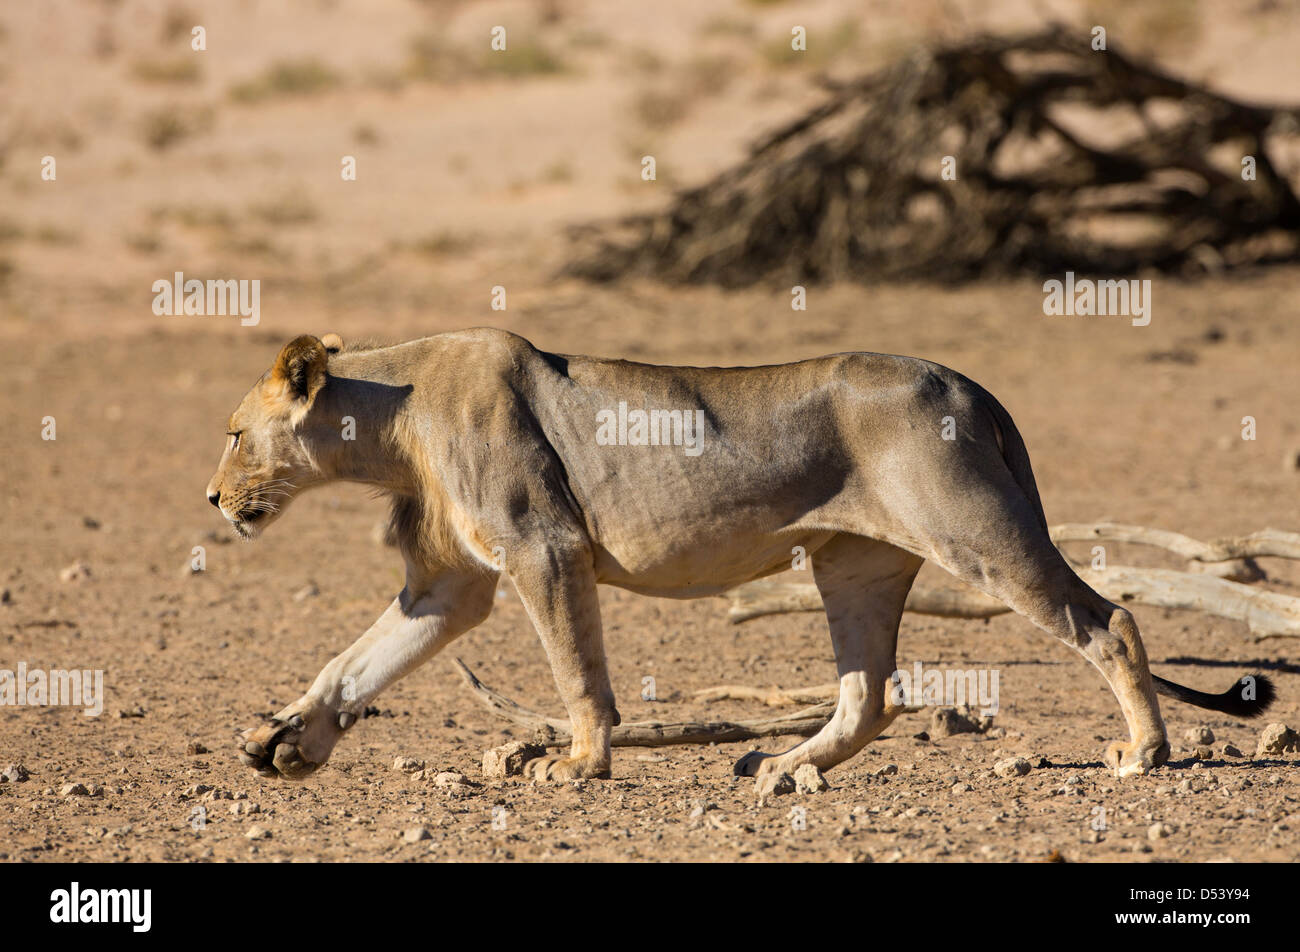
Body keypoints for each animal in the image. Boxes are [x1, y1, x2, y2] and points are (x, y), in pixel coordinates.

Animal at [207, 329, 1274, 788]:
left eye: (232, 434)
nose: (212, 500)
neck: (394, 420)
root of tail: (971, 384)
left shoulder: (545, 549)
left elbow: (578, 674)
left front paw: (579, 763)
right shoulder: (451, 582)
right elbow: (354, 660)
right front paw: (287, 738)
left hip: (978, 537)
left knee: (1110, 620)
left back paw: (1143, 753)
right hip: (857, 565)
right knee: (868, 696)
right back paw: (784, 767)